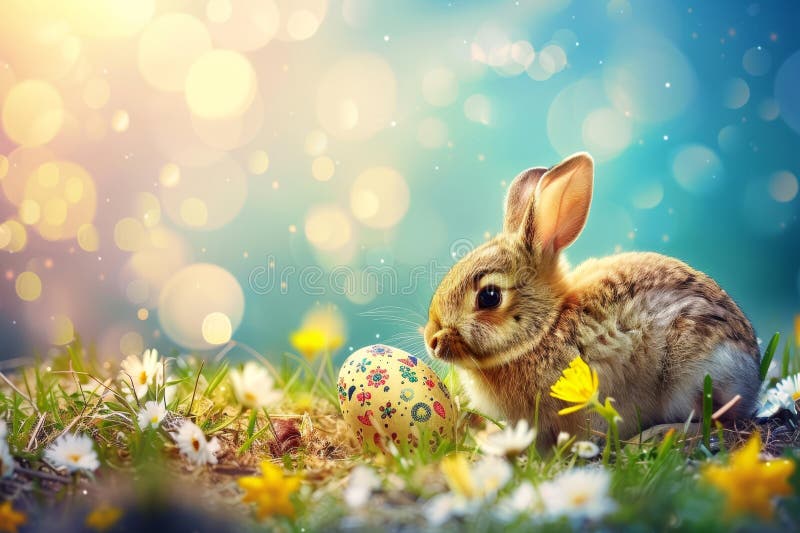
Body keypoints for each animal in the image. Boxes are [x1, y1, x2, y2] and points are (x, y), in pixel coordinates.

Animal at [423, 152, 761, 448]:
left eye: (489, 297)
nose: (432, 340)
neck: (545, 329)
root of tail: (753, 377)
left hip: (695, 373)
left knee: (715, 421)